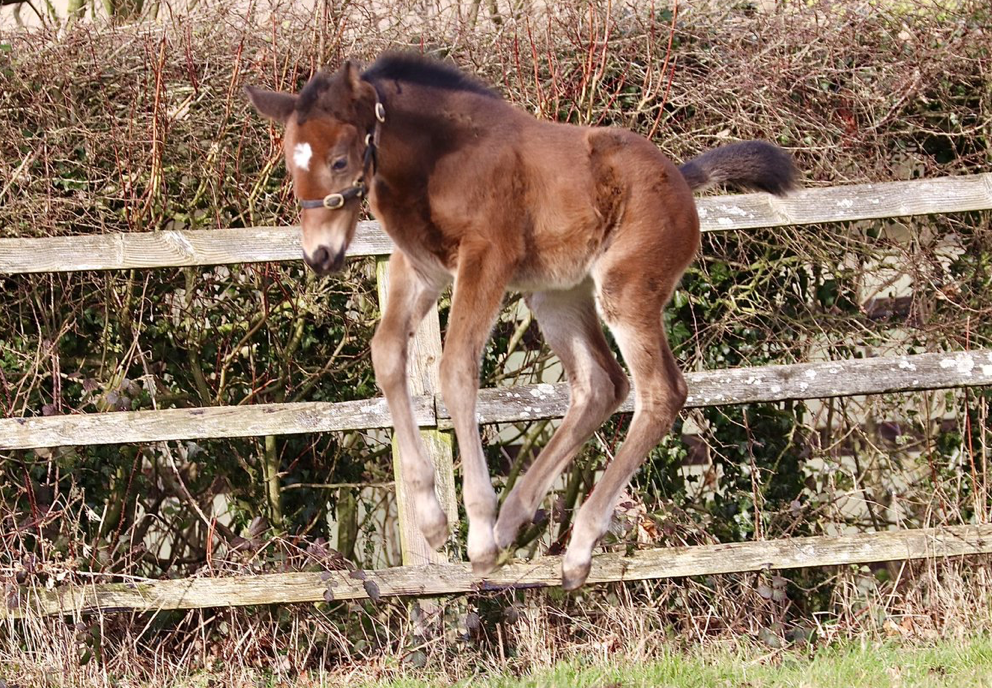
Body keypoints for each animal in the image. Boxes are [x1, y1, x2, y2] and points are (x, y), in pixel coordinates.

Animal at [246, 53, 796, 589]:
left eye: (339, 160)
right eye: (292, 167)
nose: (319, 256)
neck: (435, 162)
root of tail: (681, 180)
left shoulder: (486, 259)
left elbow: (456, 368)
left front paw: (478, 535)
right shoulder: (421, 267)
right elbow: (386, 354)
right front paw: (432, 521)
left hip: (626, 291)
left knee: (662, 392)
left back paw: (573, 548)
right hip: (555, 297)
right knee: (601, 385)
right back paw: (515, 519)